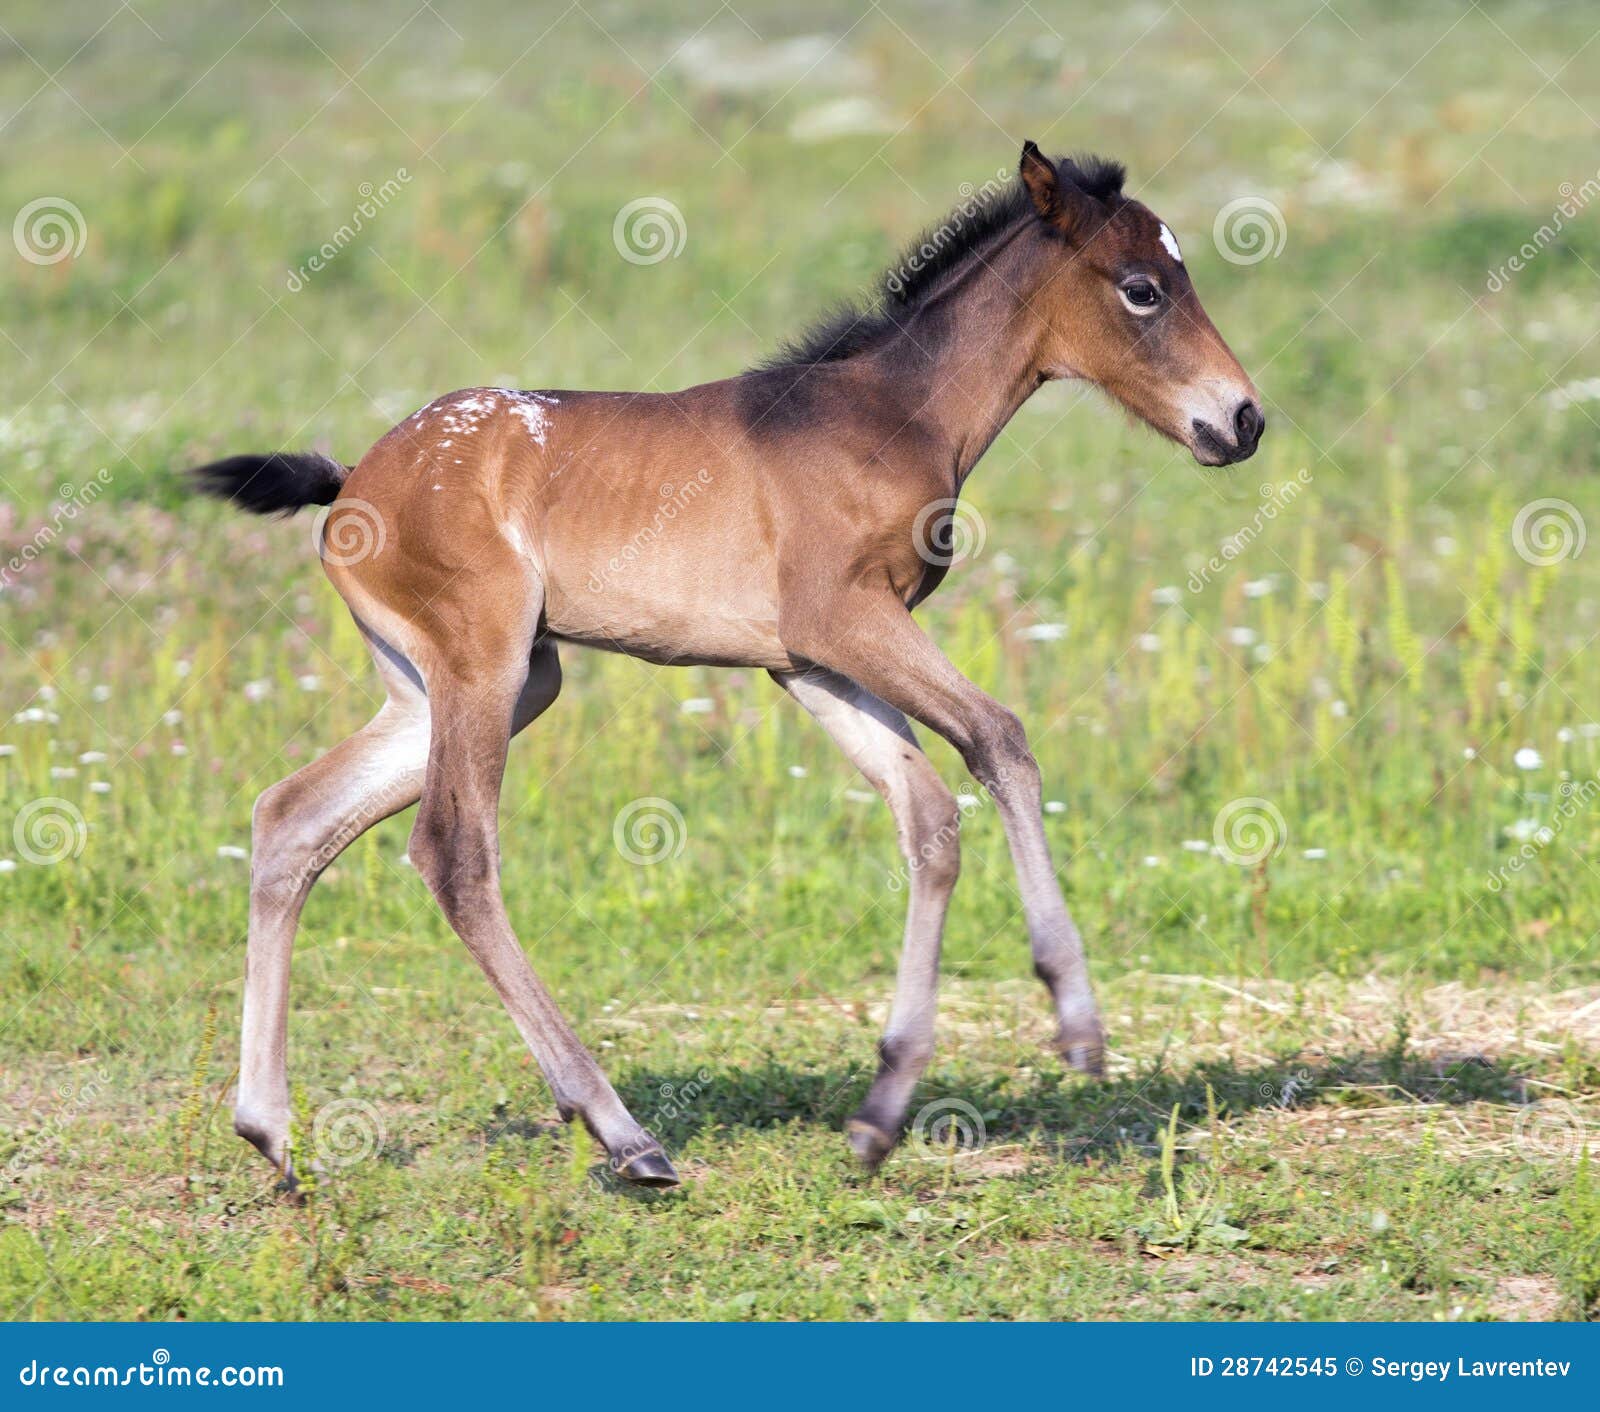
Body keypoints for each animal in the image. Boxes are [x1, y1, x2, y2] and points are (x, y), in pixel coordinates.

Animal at [193, 141, 1263, 1189]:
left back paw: (270, 1133)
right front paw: (1077, 1025)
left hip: (476, 683)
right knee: (452, 851)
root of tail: (355, 481)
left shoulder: (810, 661)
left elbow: (927, 817)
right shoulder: (845, 619)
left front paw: (882, 1111)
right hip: (481, 665)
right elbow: (1000, 738)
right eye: (1142, 289)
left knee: (291, 819)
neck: (893, 414)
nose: (1245, 420)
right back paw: (623, 1134)